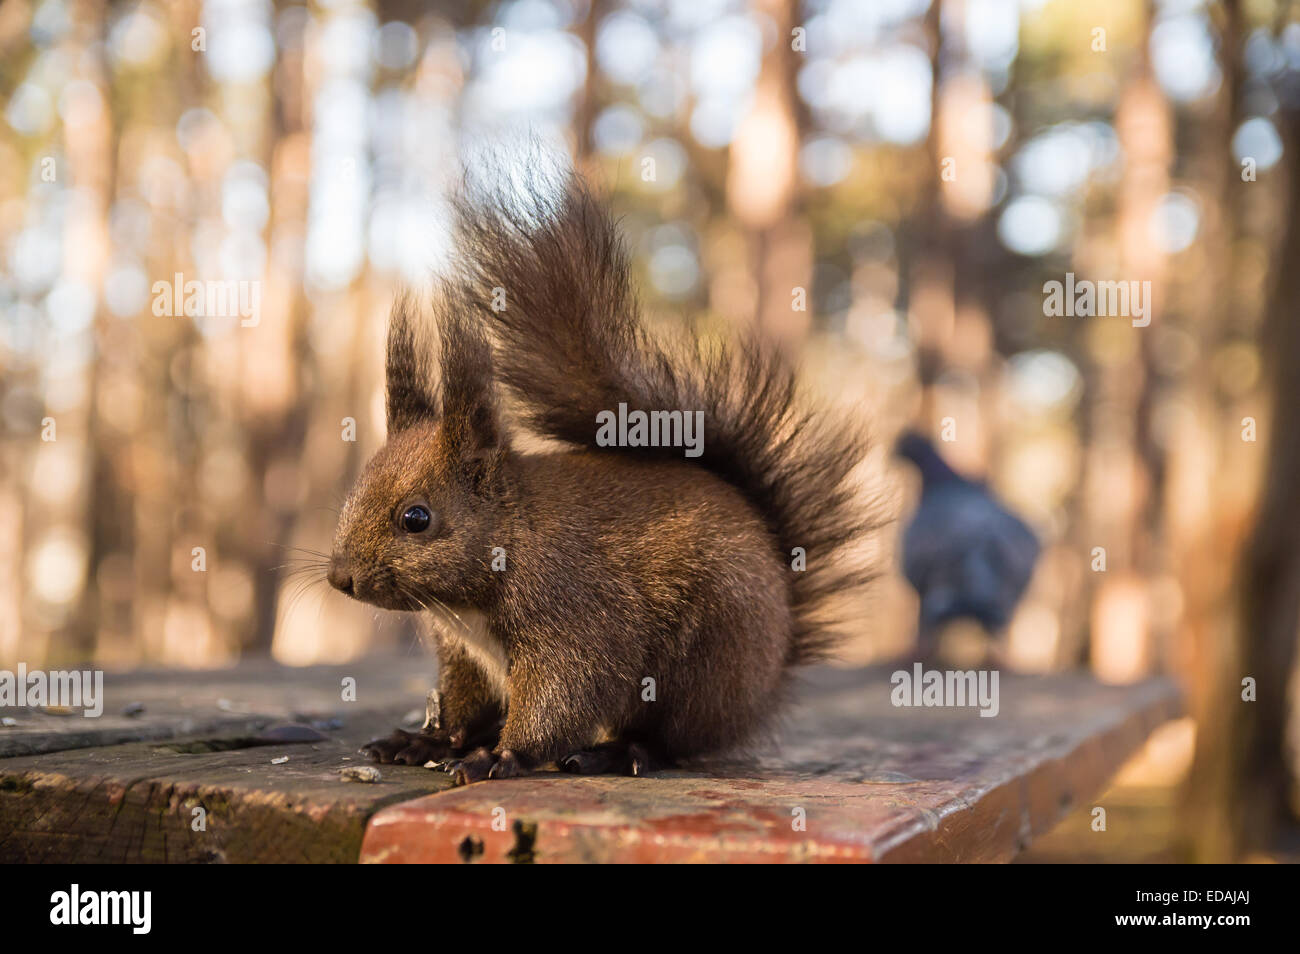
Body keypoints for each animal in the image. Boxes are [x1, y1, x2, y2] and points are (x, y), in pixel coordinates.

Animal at [327, 172, 878, 783]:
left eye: (417, 518)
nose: (340, 578)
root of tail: (770, 676)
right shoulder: (464, 653)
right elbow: (463, 704)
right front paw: (430, 740)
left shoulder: (574, 614)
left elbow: (565, 693)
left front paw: (502, 756)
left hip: (704, 668)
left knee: (669, 739)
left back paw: (618, 751)